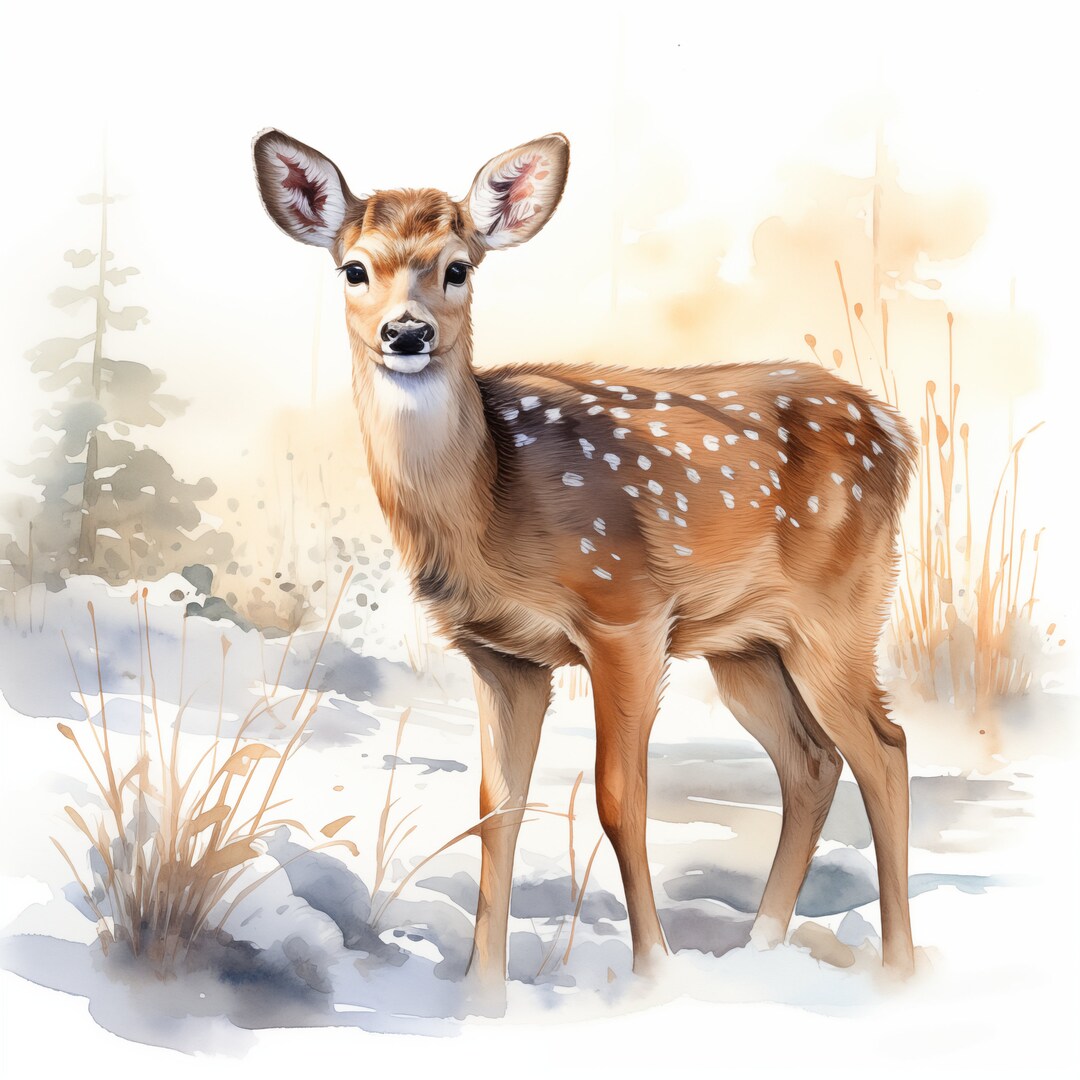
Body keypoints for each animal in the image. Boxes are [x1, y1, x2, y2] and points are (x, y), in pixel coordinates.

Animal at [253, 128, 918, 994]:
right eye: (354, 269)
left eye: (458, 268)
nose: (406, 334)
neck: (491, 505)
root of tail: (898, 435)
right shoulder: (501, 655)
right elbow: (495, 808)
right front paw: (482, 991)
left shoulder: (625, 613)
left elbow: (618, 796)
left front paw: (653, 972)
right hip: (744, 643)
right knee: (811, 762)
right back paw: (762, 947)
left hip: (838, 612)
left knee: (885, 750)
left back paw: (898, 969)